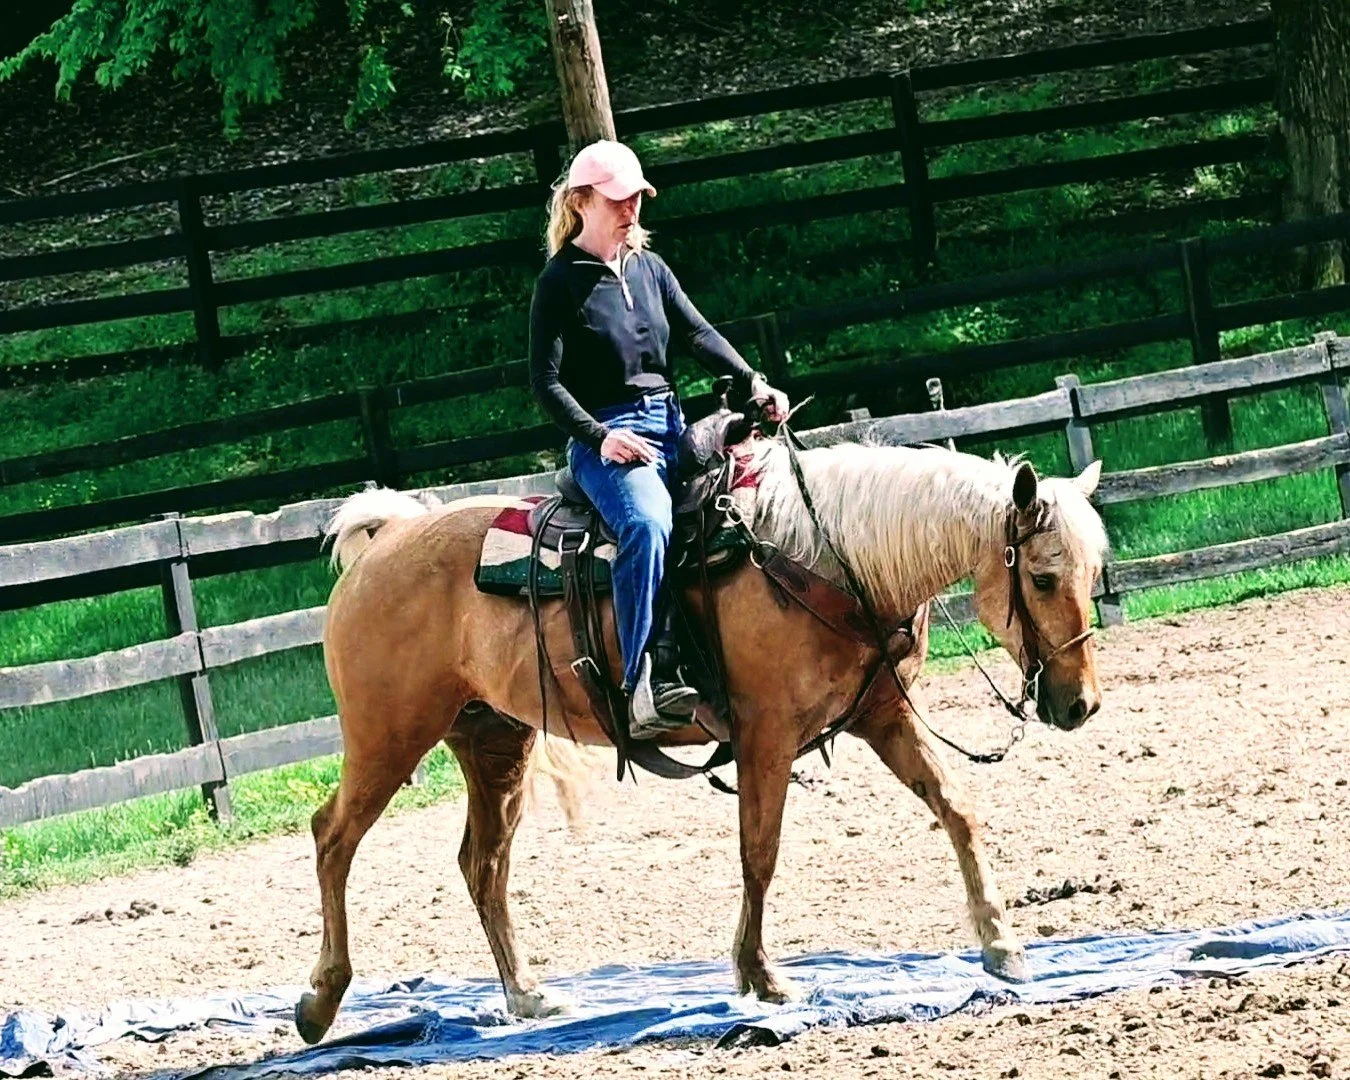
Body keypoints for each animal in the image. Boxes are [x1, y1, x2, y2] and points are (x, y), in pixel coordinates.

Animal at [293, 439, 1108, 1043]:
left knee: (482, 864)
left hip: (494, 743)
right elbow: (760, 850)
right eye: (1041, 577)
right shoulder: (766, 736)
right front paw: (762, 975)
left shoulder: (883, 715)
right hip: (388, 736)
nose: (1081, 704)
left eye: (1094, 569)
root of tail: (389, 541)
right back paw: (321, 1003)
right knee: (333, 837)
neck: (824, 559)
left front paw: (1003, 947)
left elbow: (956, 809)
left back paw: (529, 997)